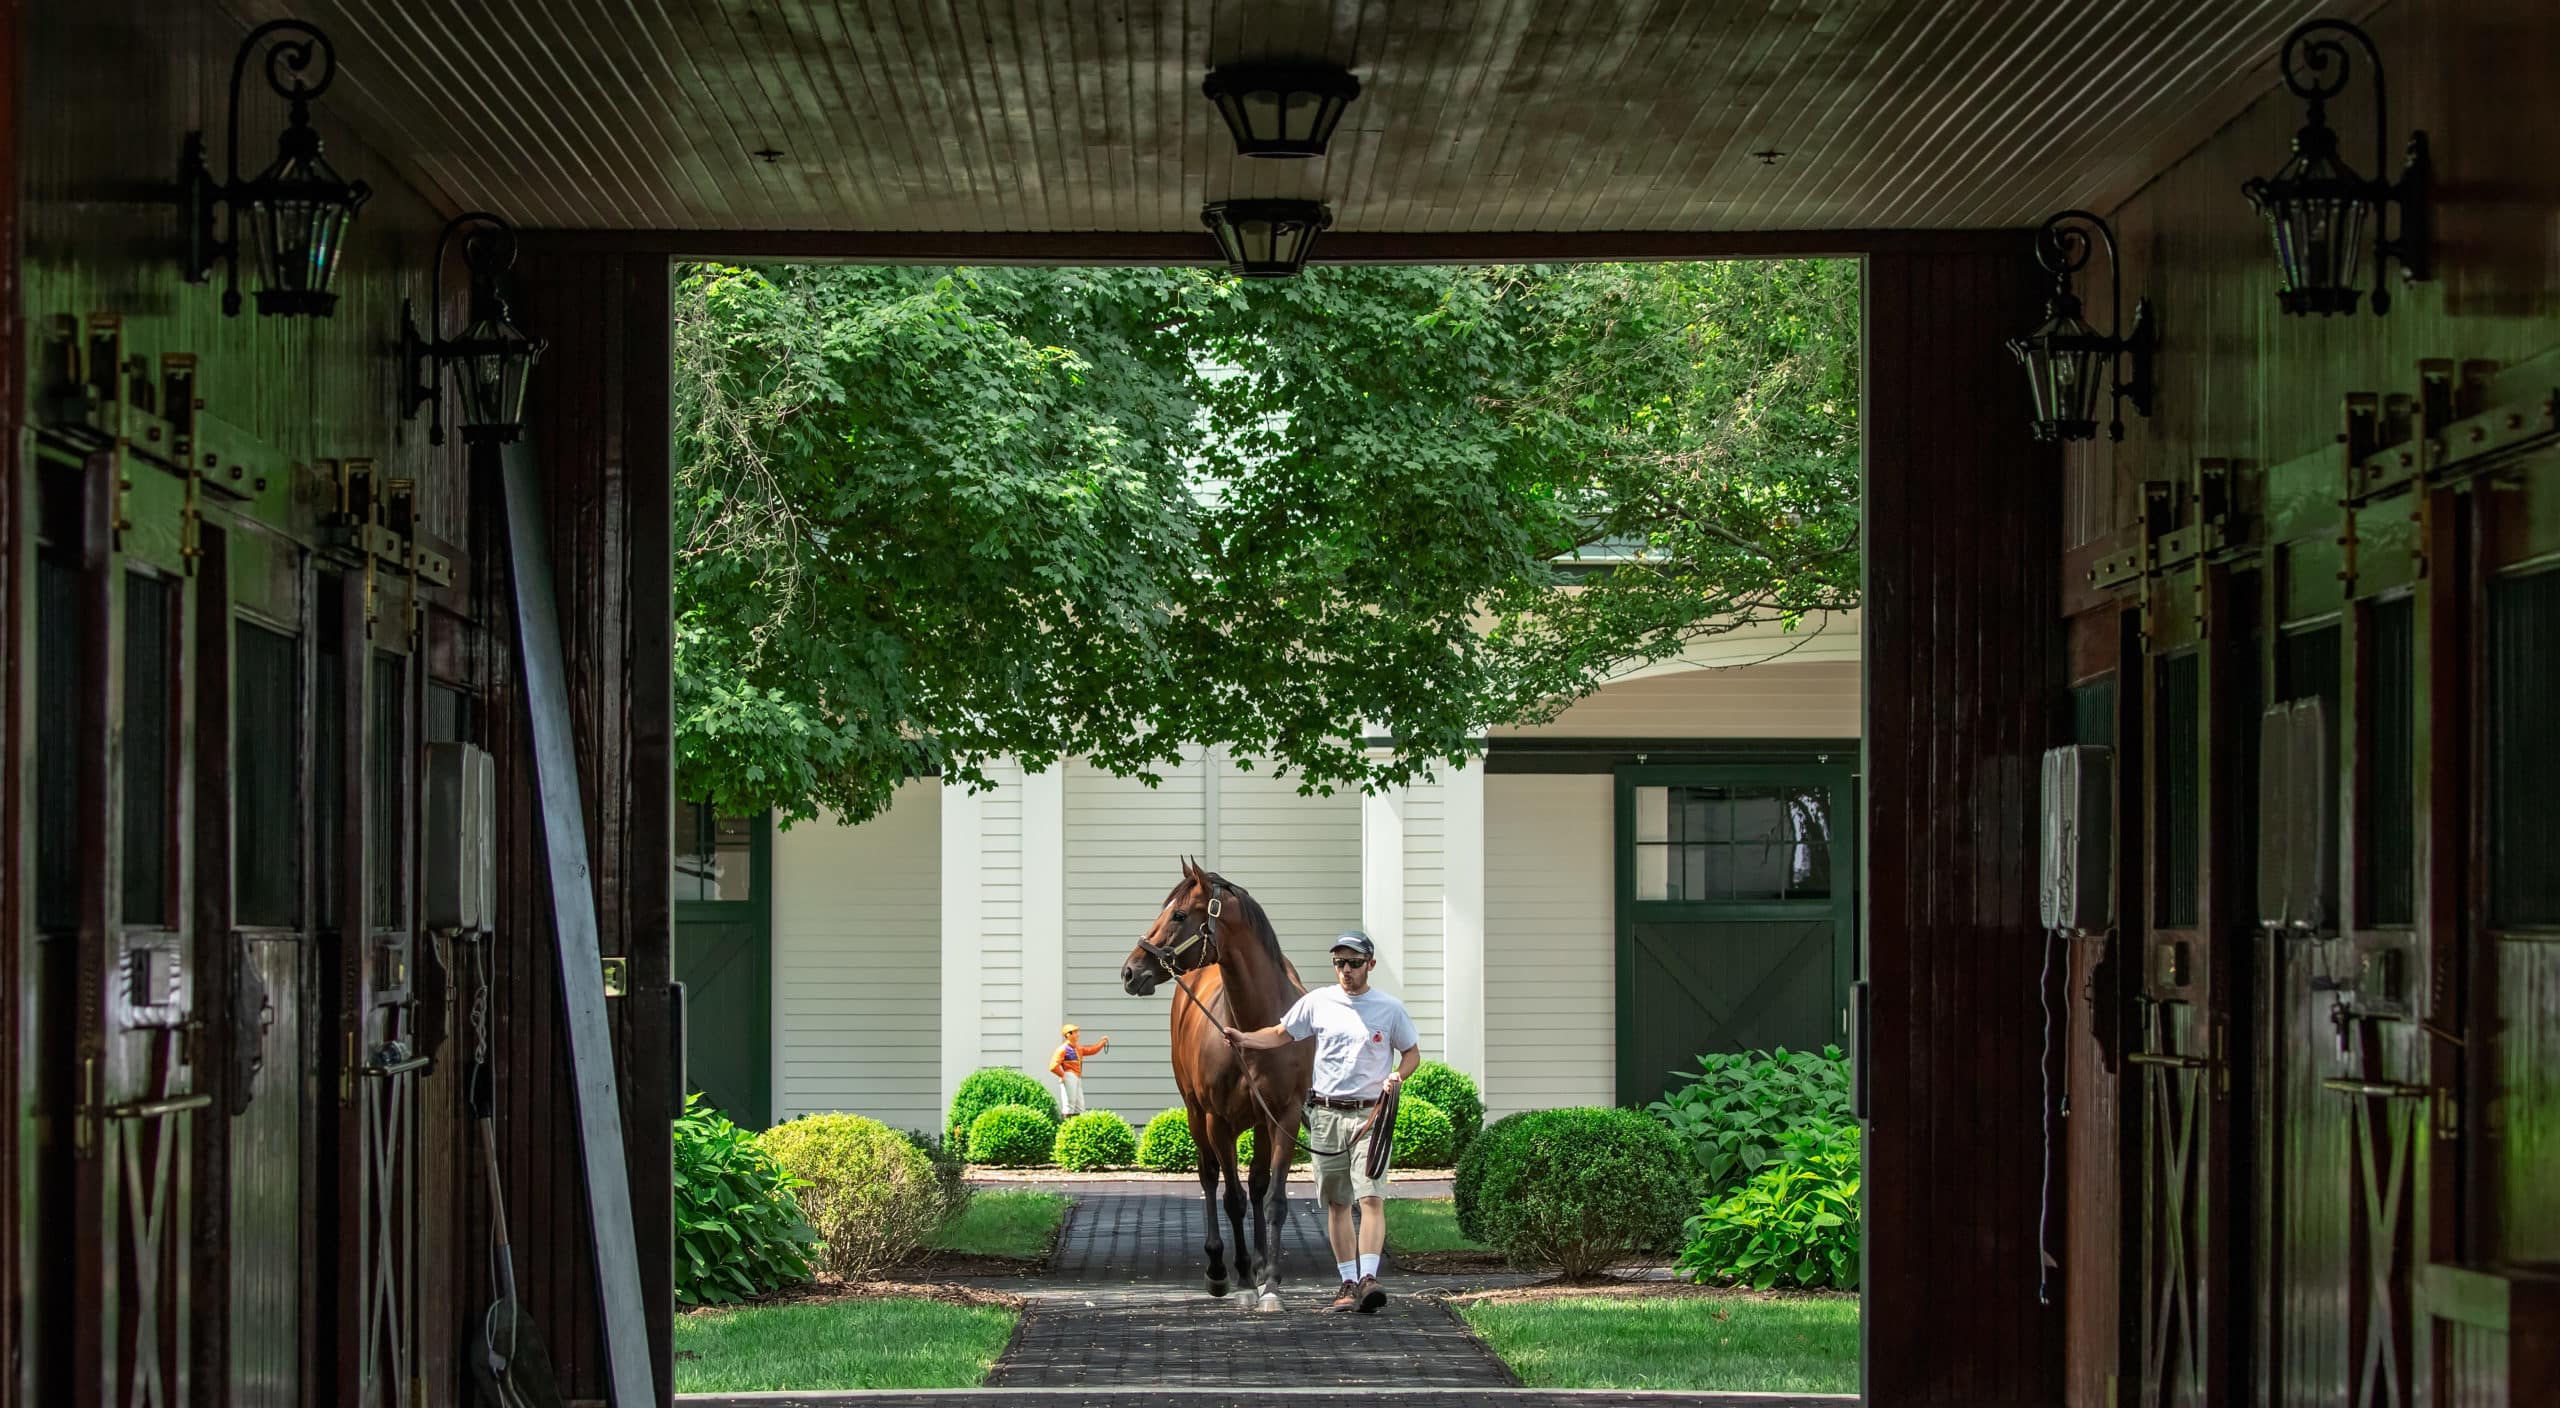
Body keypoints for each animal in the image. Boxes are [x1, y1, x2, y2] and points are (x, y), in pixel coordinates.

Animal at [1120, 858, 1312, 1311]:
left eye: (1177, 915)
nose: (1130, 971)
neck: (1255, 1029)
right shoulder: (1218, 1120)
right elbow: (1231, 1198)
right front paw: (1241, 1278)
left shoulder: (1283, 1117)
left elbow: (1273, 1198)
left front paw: (1269, 1281)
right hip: (1195, 1113)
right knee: (1210, 1178)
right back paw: (1221, 1268)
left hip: (1257, 1123)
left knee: (1256, 1186)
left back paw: (1257, 1264)